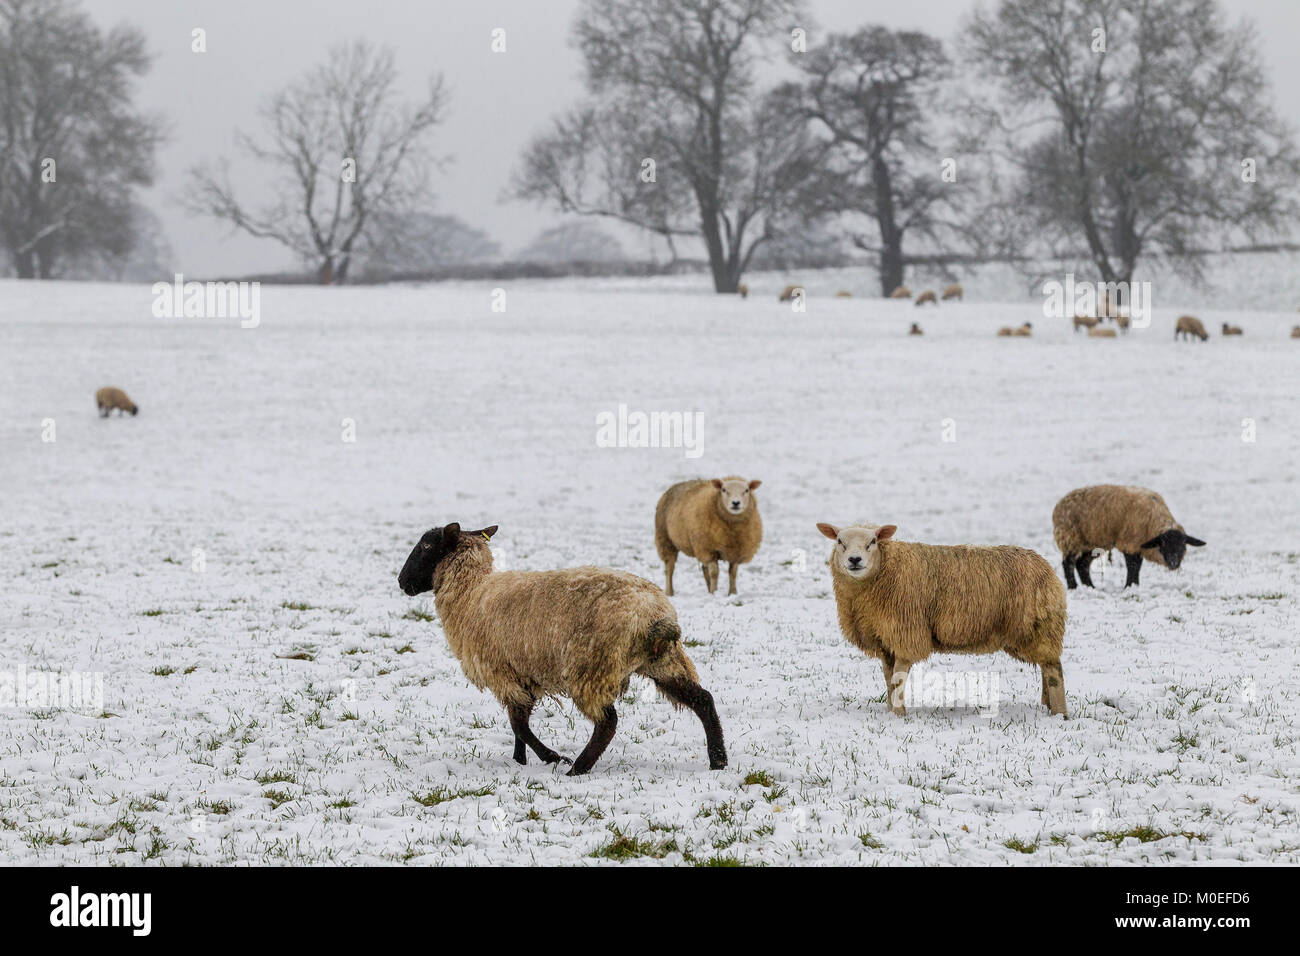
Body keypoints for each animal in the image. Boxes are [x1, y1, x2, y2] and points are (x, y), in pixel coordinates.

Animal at [398, 523, 727, 776]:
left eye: (425, 546)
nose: (401, 582)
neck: (470, 592)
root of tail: (653, 615)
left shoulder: (503, 673)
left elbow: (519, 725)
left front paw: (551, 757)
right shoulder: (522, 674)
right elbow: (519, 725)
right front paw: (520, 760)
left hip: (591, 667)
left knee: (608, 722)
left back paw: (577, 768)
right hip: (664, 661)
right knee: (703, 700)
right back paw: (719, 761)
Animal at [816, 523, 1068, 717]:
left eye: (873, 541)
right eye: (839, 541)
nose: (854, 560)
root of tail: (1046, 568)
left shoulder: (907, 634)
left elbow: (898, 679)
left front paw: (898, 715)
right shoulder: (885, 640)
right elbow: (888, 679)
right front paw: (890, 710)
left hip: (1037, 627)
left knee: (1054, 670)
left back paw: (1059, 713)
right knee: (1046, 666)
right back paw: (1046, 706)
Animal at [1052, 485, 1205, 589]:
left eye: (1183, 546)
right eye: (1162, 544)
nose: (1174, 564)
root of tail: (1058, 505)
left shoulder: (1138, 544)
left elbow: (1137, 566)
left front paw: (1134, 586)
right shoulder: (1130, 542)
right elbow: (1133, 565)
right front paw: (1130, 586)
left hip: (1090, 542)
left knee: (1082, 564)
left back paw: (1090, 587)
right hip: (1070, 539)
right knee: (1068, 563)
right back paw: (1073, 587)